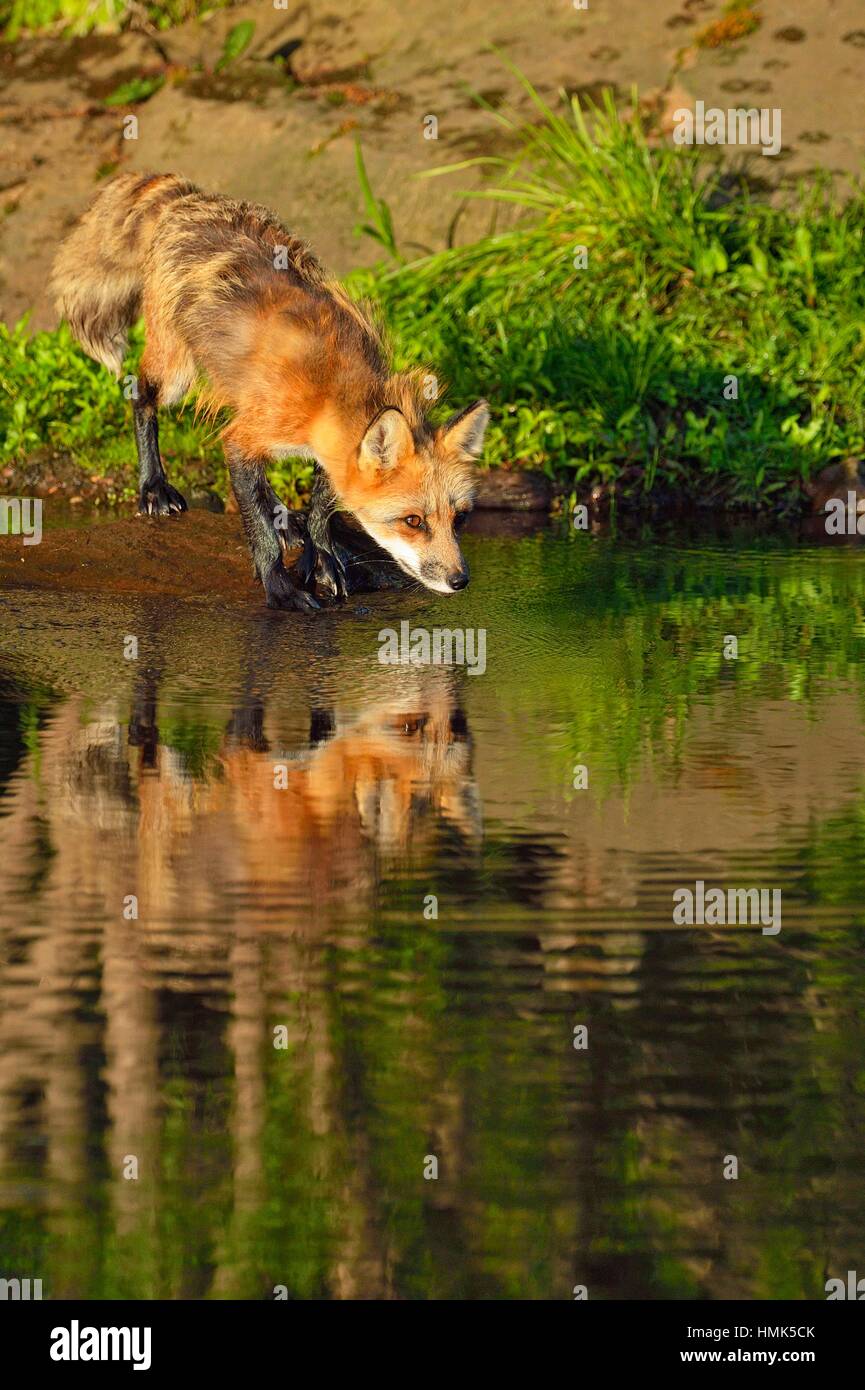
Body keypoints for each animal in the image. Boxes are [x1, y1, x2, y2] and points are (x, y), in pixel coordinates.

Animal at [50, 172, 489, 610]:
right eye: (413, 521)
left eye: (460, 518)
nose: (460, 580)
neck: (327, 389)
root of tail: (189, 195)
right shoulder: (244, 437)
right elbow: (257, 525)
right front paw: (278, 586)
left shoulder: (324, 447)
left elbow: (320, 507)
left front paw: (321, 556)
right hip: (175, 371)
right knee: (140, 397)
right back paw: (153, 487)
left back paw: (286, 518)